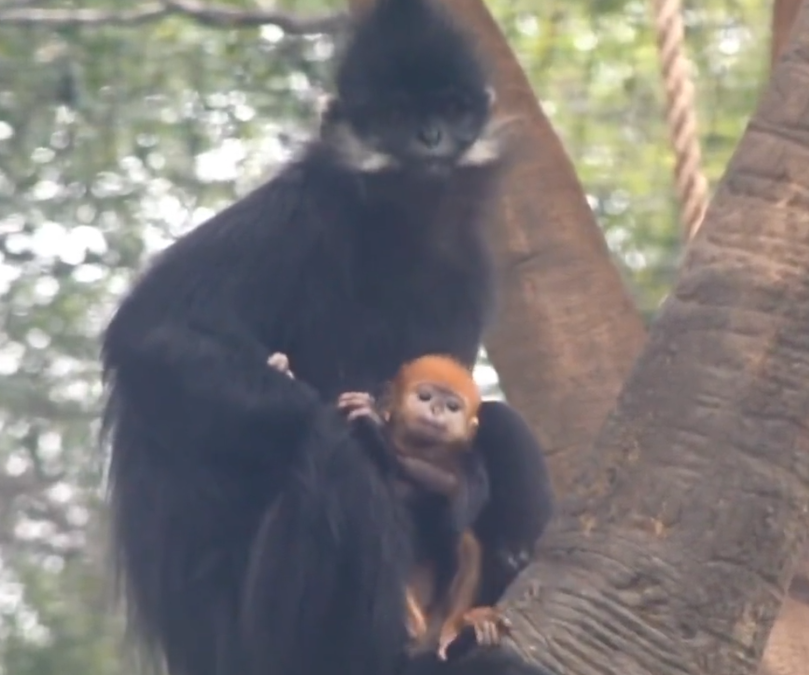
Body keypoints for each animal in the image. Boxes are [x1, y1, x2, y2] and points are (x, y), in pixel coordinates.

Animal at [101, 3, 554, 675]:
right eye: (394, 116)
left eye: (449, 110)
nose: (430, 139)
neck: (392, 228)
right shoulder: (297, 213)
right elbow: (149, 331)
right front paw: (375, 428)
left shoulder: (465, 264)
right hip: (258, 641)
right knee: (334, 450)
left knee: (500, 422)